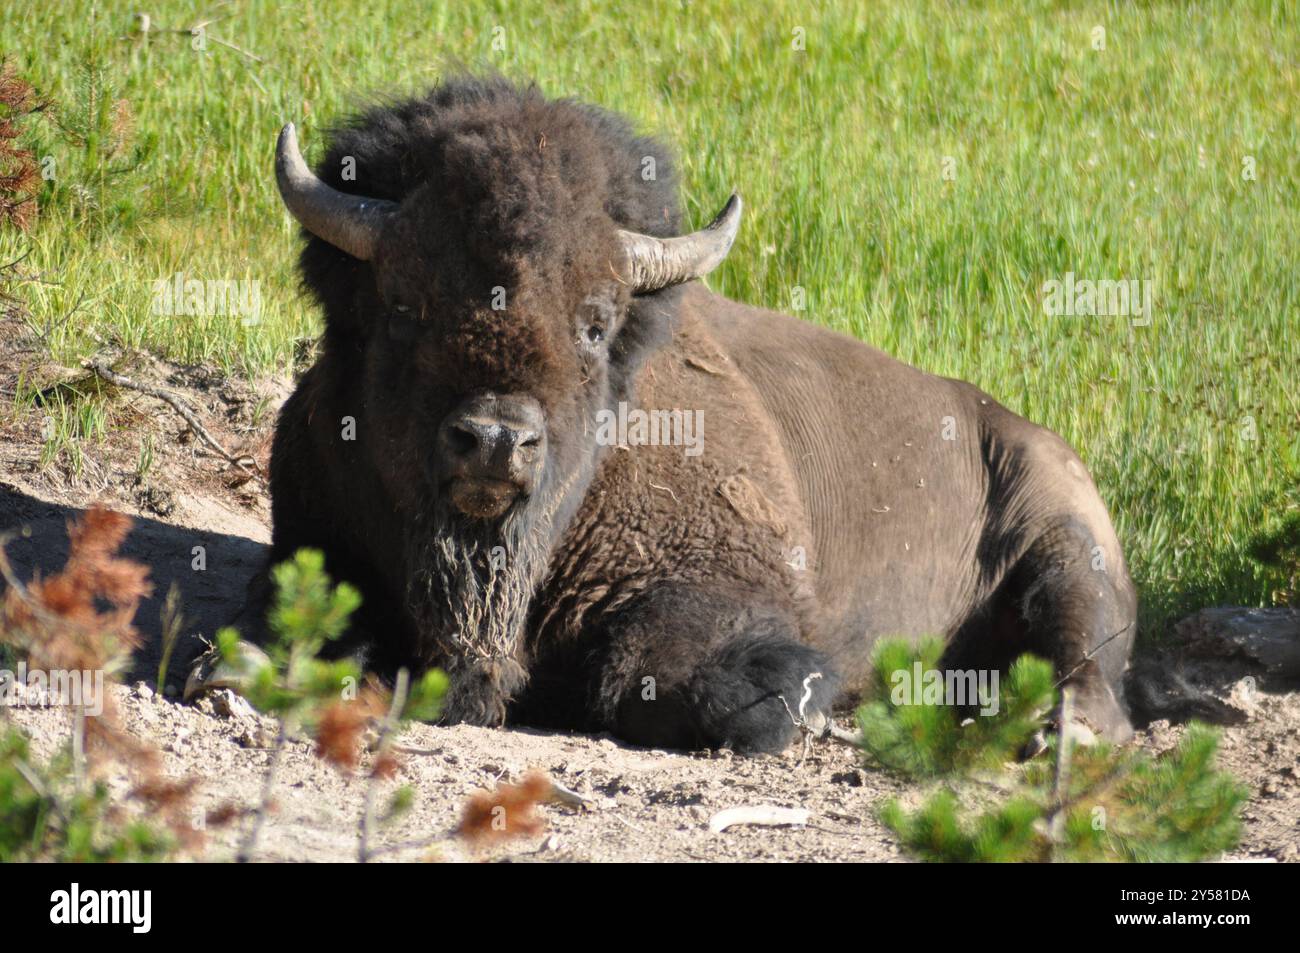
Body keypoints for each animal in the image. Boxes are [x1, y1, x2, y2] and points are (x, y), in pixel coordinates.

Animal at [201, 77, 1136, 753]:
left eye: (595, 322)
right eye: (402, 305)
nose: (496, 440)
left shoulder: (715, 581)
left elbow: (649, 676)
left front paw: (794, 701)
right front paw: (233, 667)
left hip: (1067, 547)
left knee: (1083, 655)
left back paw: (1064, 733)